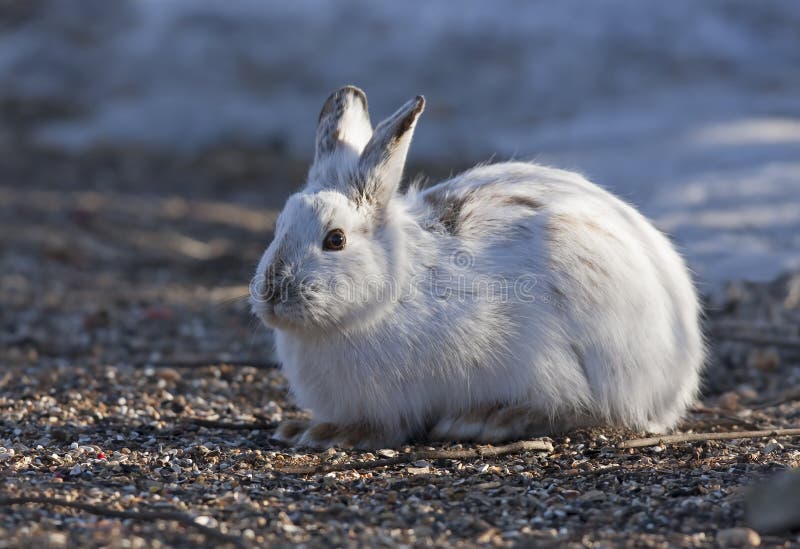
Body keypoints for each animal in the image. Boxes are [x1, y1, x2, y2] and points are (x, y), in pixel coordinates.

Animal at [250, 85, 705, 449]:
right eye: (278, 226)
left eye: (336, 240)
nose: (271, 294)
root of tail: (677, 376)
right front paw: (301, 429)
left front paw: (329, 434)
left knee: (588, 409)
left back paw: (488, 420)